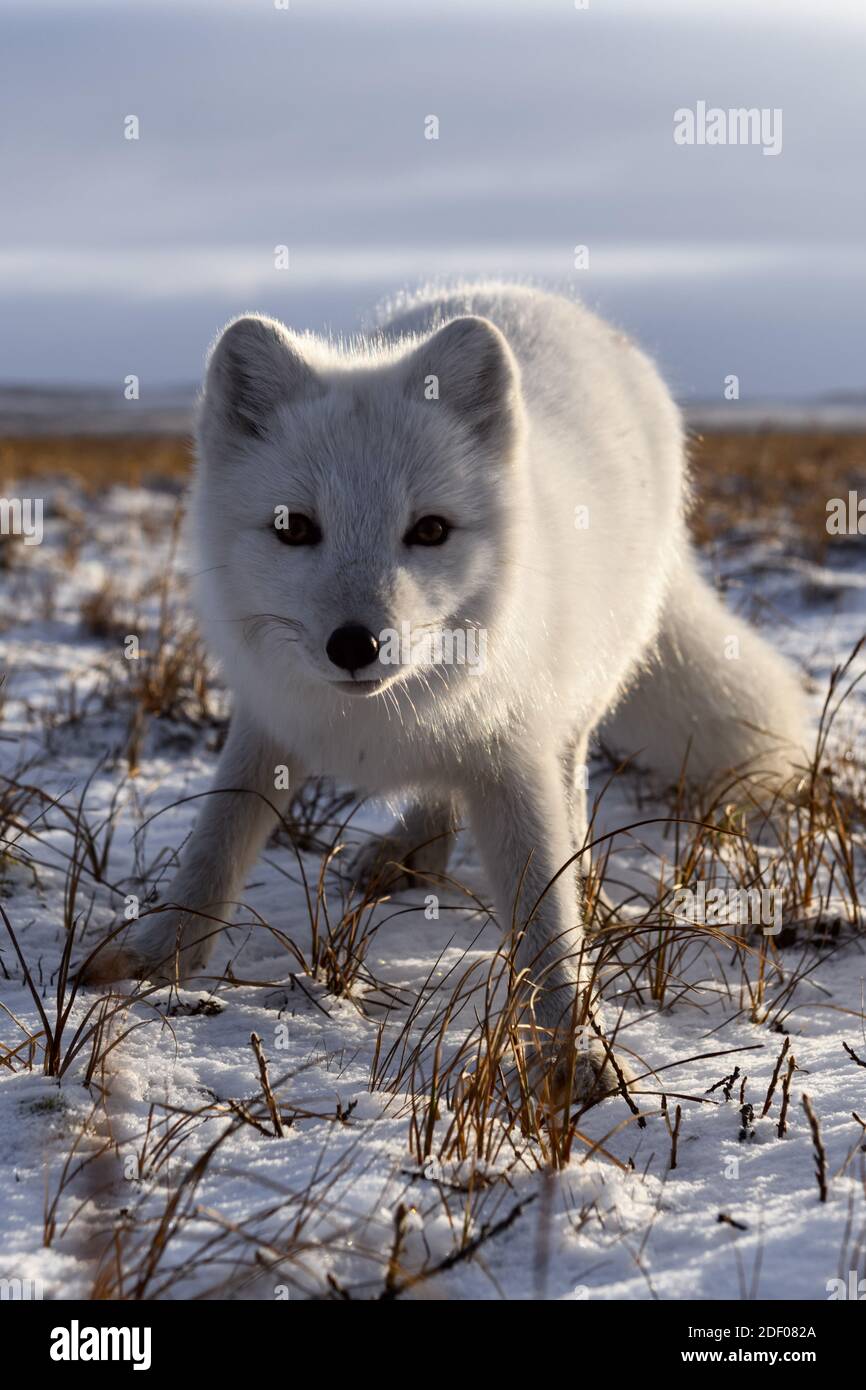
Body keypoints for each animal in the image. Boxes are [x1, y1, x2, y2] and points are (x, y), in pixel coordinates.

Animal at [80, 283, 809, 1103]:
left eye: (429, 530)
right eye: (293, 528)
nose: (356, 646)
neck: (377, 720)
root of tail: (546, 298)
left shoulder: (512, 752)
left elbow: (544, 920)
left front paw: (570, 1053)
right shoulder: (270, 719)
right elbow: (217, 839)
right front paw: (159, 952)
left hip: (583, 686)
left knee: (571, 779)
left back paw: (575, 867)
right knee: (438, 795)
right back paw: (410, 854)